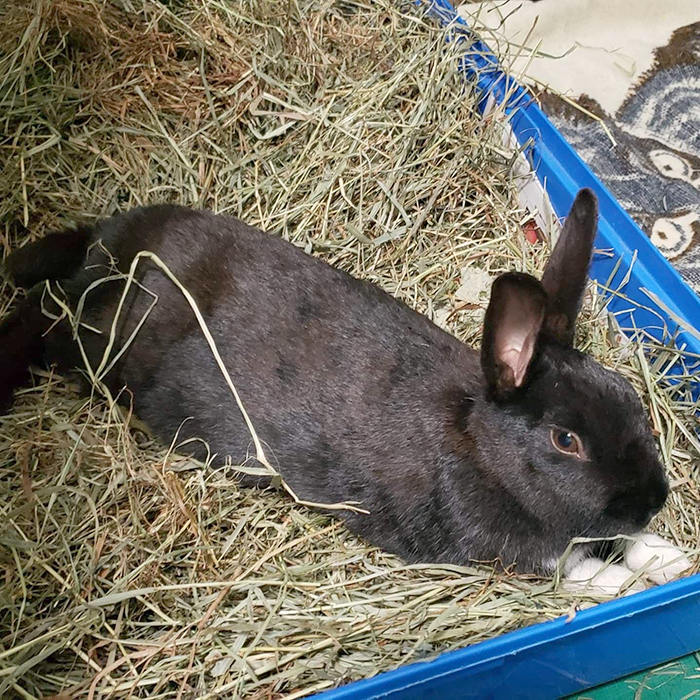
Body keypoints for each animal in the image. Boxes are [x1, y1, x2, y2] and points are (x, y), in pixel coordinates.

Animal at [0, 188, 688, 586]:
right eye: (565, 440)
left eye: (629, 396)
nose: (654, 497)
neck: (480, 449)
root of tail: (102, 245)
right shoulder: (521, 554)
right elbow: (585, 573)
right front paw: (639, 579)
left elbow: (623, 543)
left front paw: (670, 557)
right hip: (90, 346)